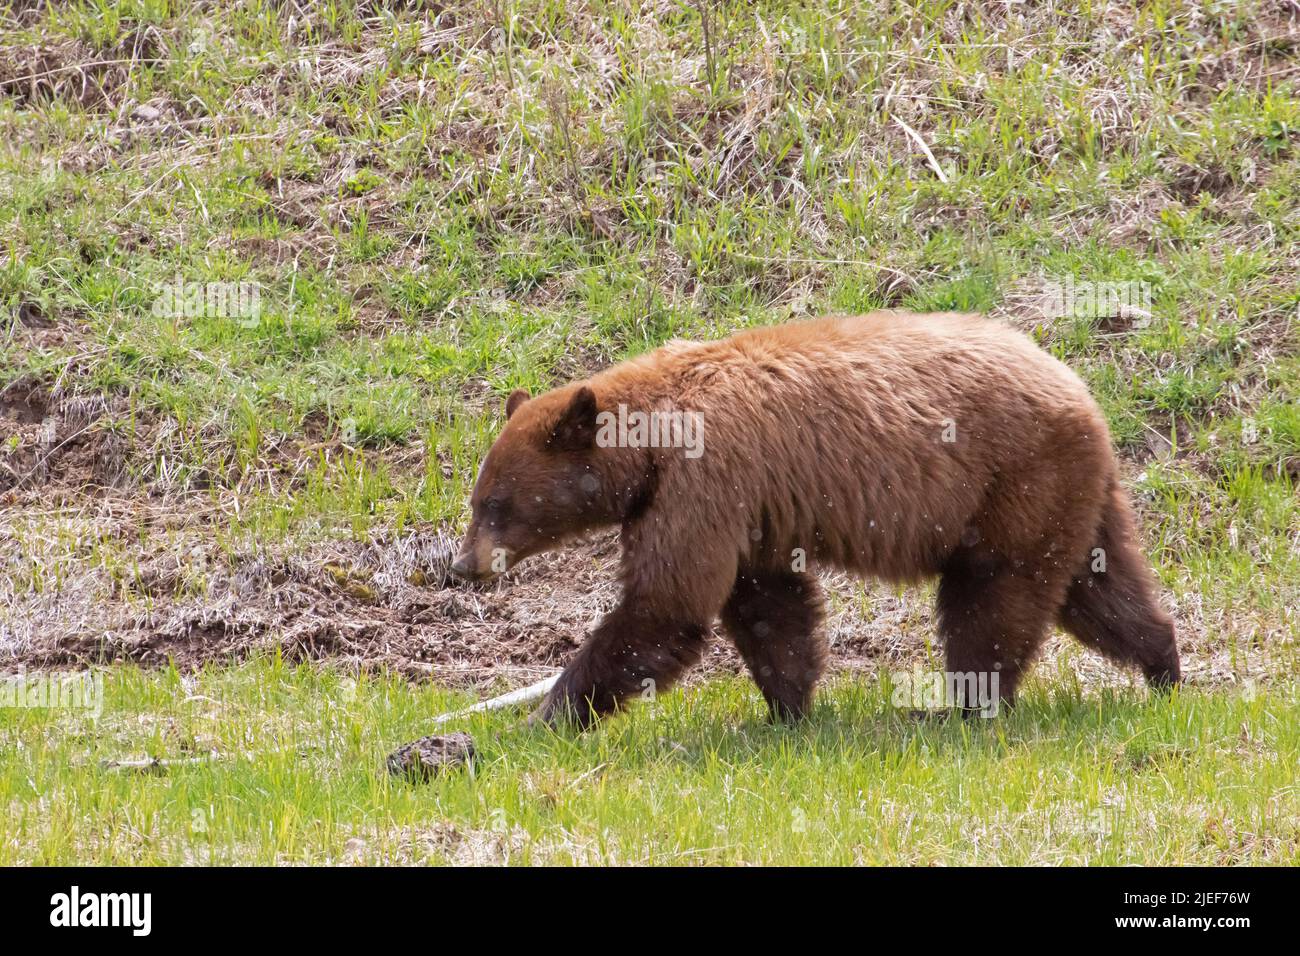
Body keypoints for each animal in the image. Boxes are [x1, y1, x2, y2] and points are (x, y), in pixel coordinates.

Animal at [449, 311, 1181, 727]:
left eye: (494, 503)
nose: (462, 565)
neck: (650, 446)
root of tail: (1081, 389)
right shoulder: (749, 510)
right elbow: (768, 606)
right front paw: (786, 710)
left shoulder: (703, 481)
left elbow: (666, 605)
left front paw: (546, 718)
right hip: (1071, 490)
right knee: (1099, 586)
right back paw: (1165, 667)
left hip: (1012, 481)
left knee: (994, 596)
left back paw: (965, 709)